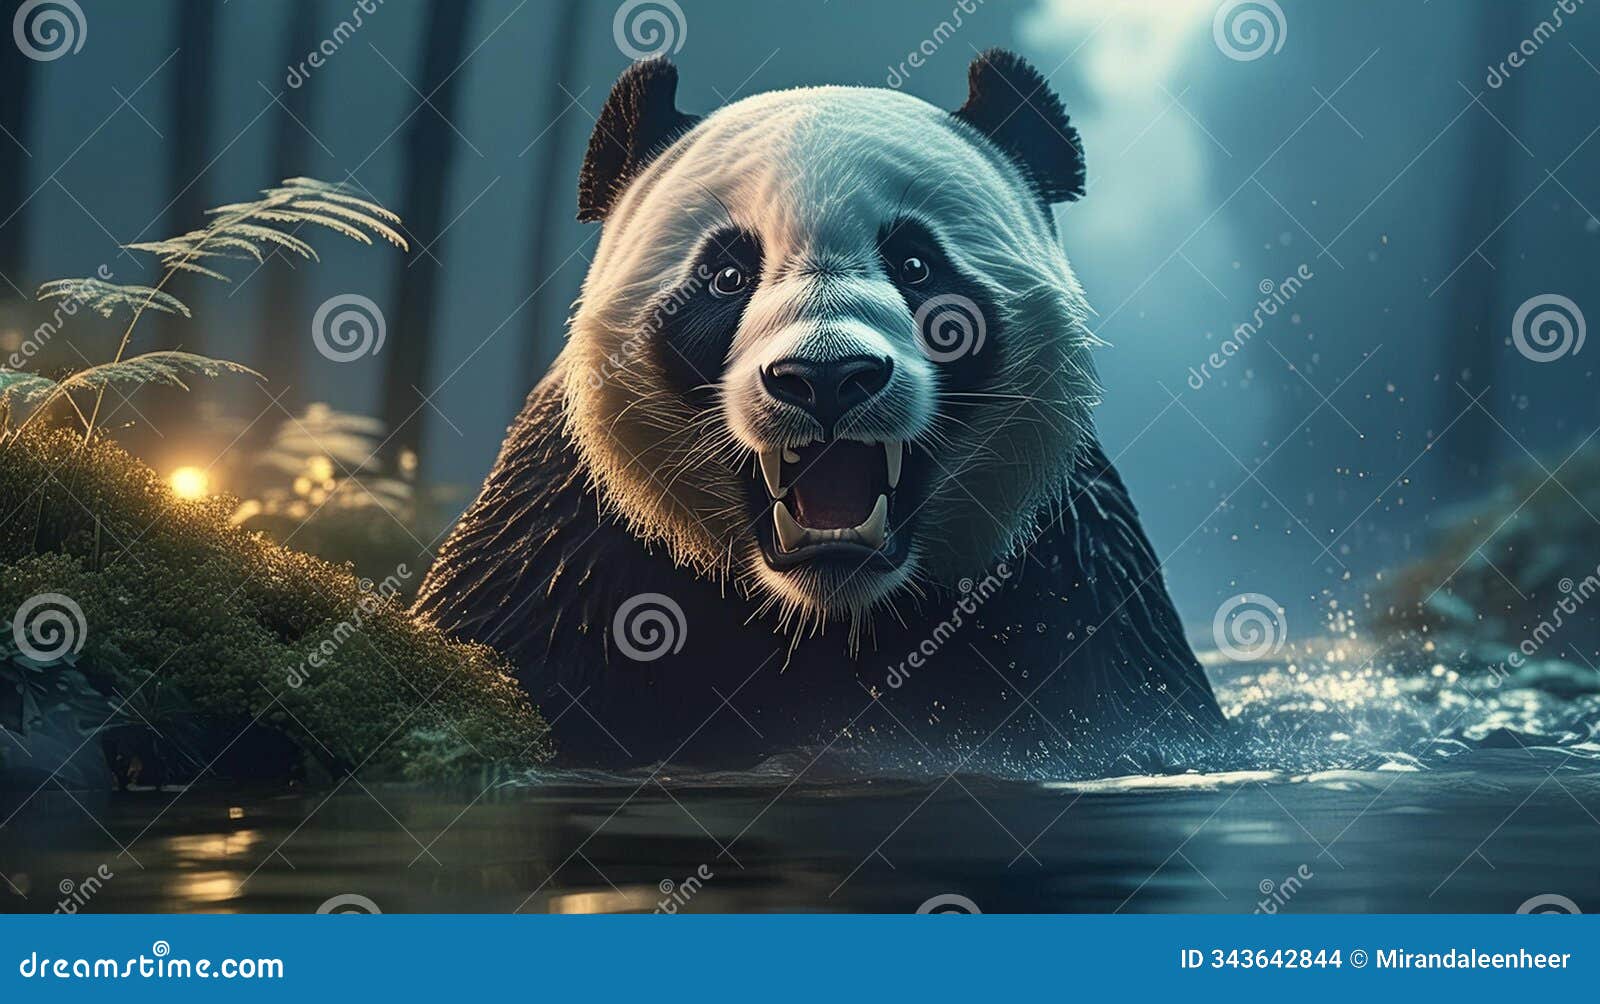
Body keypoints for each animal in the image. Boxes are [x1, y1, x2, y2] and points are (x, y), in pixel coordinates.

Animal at [414, 50, 1224, 770]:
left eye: (916, 265)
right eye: (727, 274)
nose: (827, 377)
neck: (833, 617)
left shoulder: (1074, 581)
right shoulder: (567, 551)